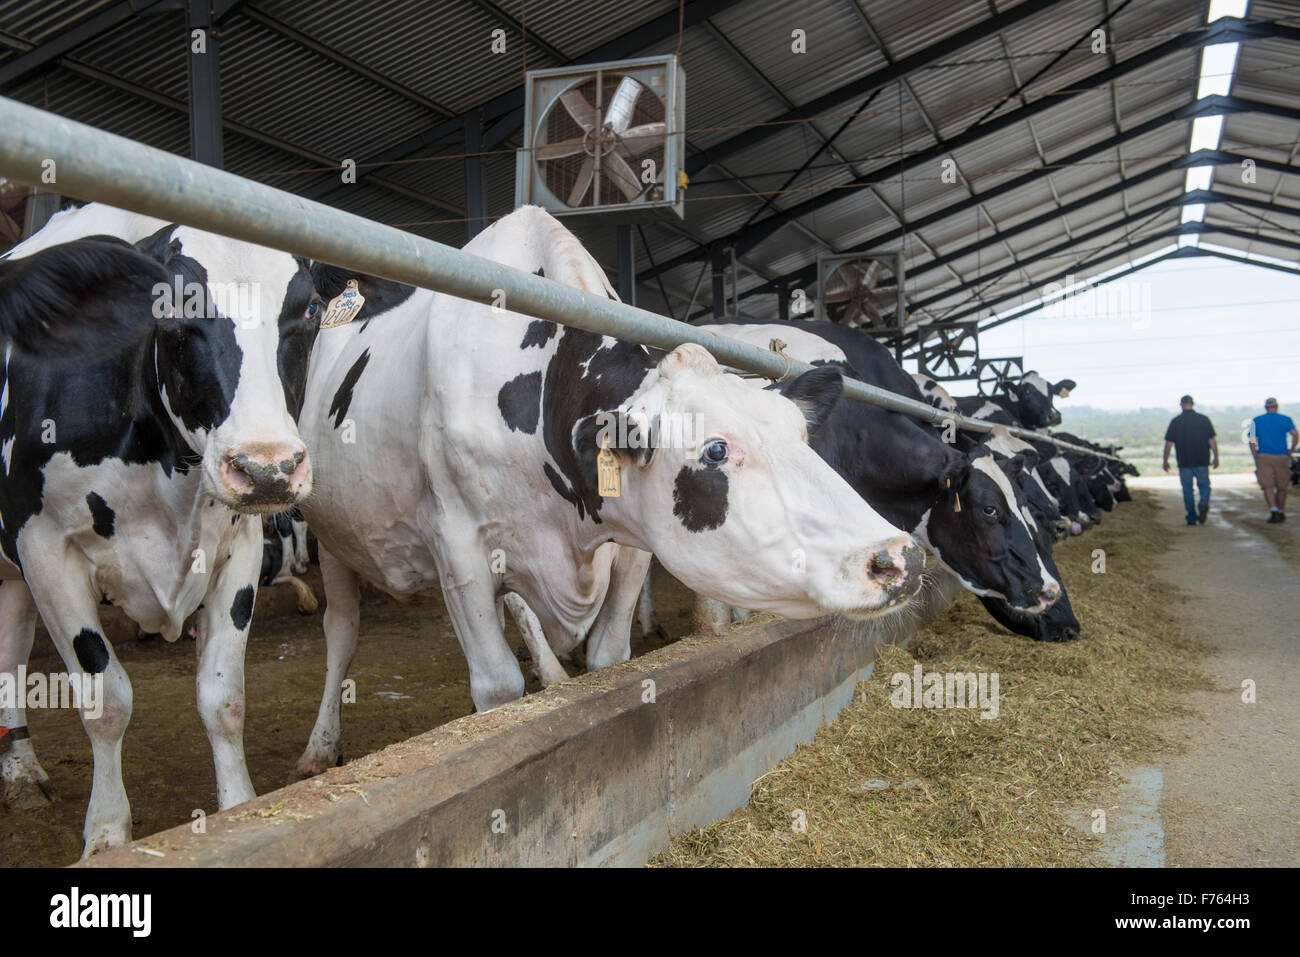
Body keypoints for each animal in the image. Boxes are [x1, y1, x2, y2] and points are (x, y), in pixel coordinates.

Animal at [0, 204, 322, 854]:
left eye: (310, 310)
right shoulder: (42, 546)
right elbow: (105, 700)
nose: (267, 468)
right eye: (172, 313)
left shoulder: (239, 546)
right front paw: (105, 835)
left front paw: (239, 808)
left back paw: (20, 767)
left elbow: (223, 696)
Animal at [292, 206, 924, 775]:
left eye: (800, 433)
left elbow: (609, 656)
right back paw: (320, 746)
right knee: (341, 633)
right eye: (716, 450)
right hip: (330, 537)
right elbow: (497, 689)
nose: (900, 559)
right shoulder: (459, 548)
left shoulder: (633, 545)